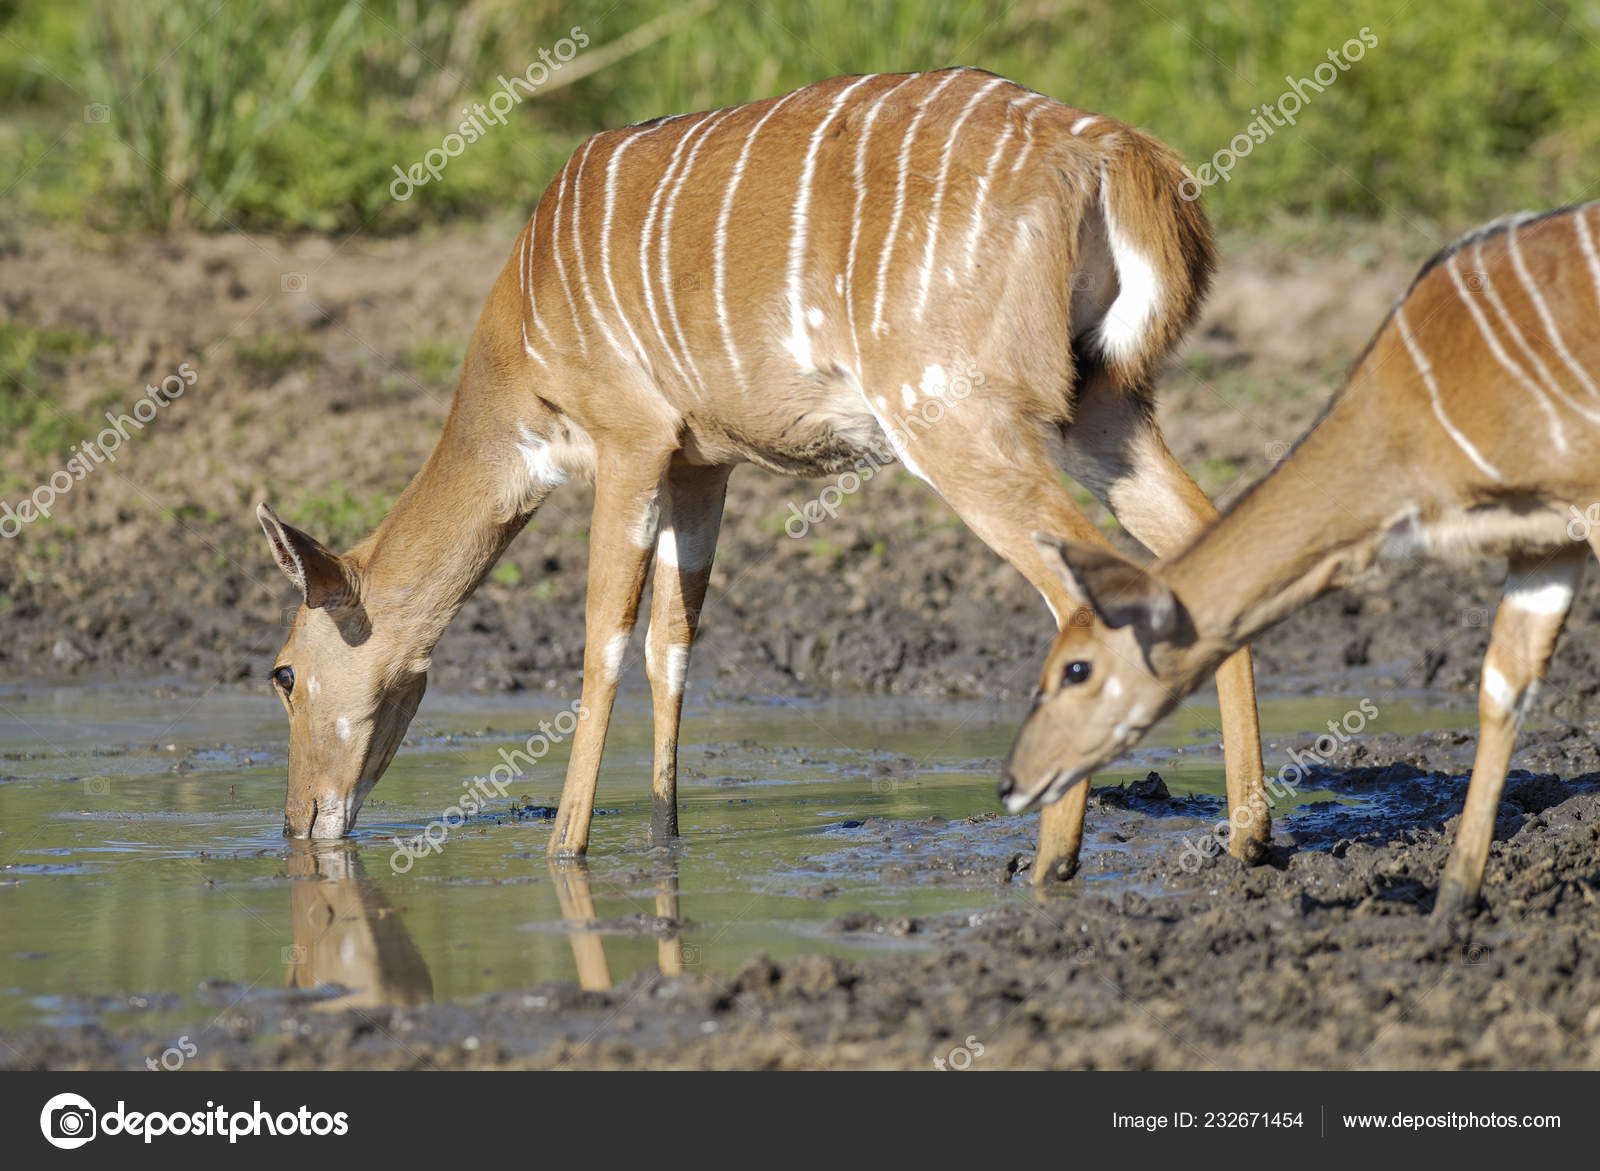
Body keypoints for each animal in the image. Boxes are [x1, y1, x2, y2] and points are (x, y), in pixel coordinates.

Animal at [256, 67, 1270, 880]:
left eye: (281, 672)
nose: (299, 823)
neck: (517, 351)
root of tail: (1110, 154)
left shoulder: (629, 438)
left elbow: (602, 642)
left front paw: (565, 848)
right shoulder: (701, 462)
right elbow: (673, 644)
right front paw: (663, 836)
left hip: (954, 413)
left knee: (1082, 591)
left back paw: (1051, 864)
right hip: (1102, 406)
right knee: (1199, 543)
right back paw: (1246, 838)